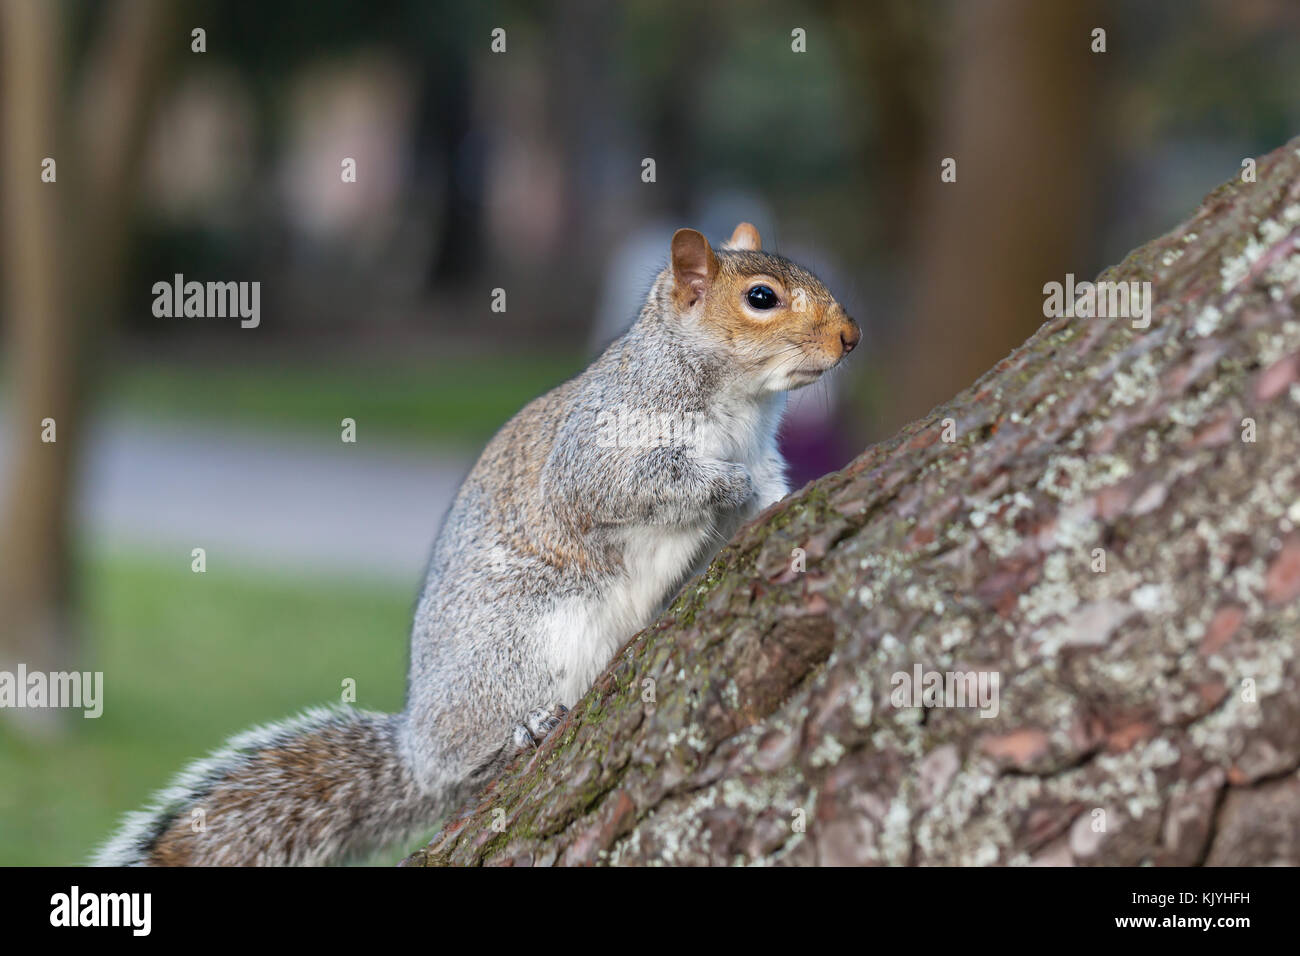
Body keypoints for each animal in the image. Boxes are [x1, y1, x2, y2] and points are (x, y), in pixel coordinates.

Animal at [92, 222, 860, 865]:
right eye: (761, 298)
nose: (851, 335)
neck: (739, 405)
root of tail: (418, 750)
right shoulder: (600, 452)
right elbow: (632, 486)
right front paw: (723, 484)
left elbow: (765, 492)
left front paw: (776, 499)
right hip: (523, 638)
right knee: (472, 758)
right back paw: (519, 734)